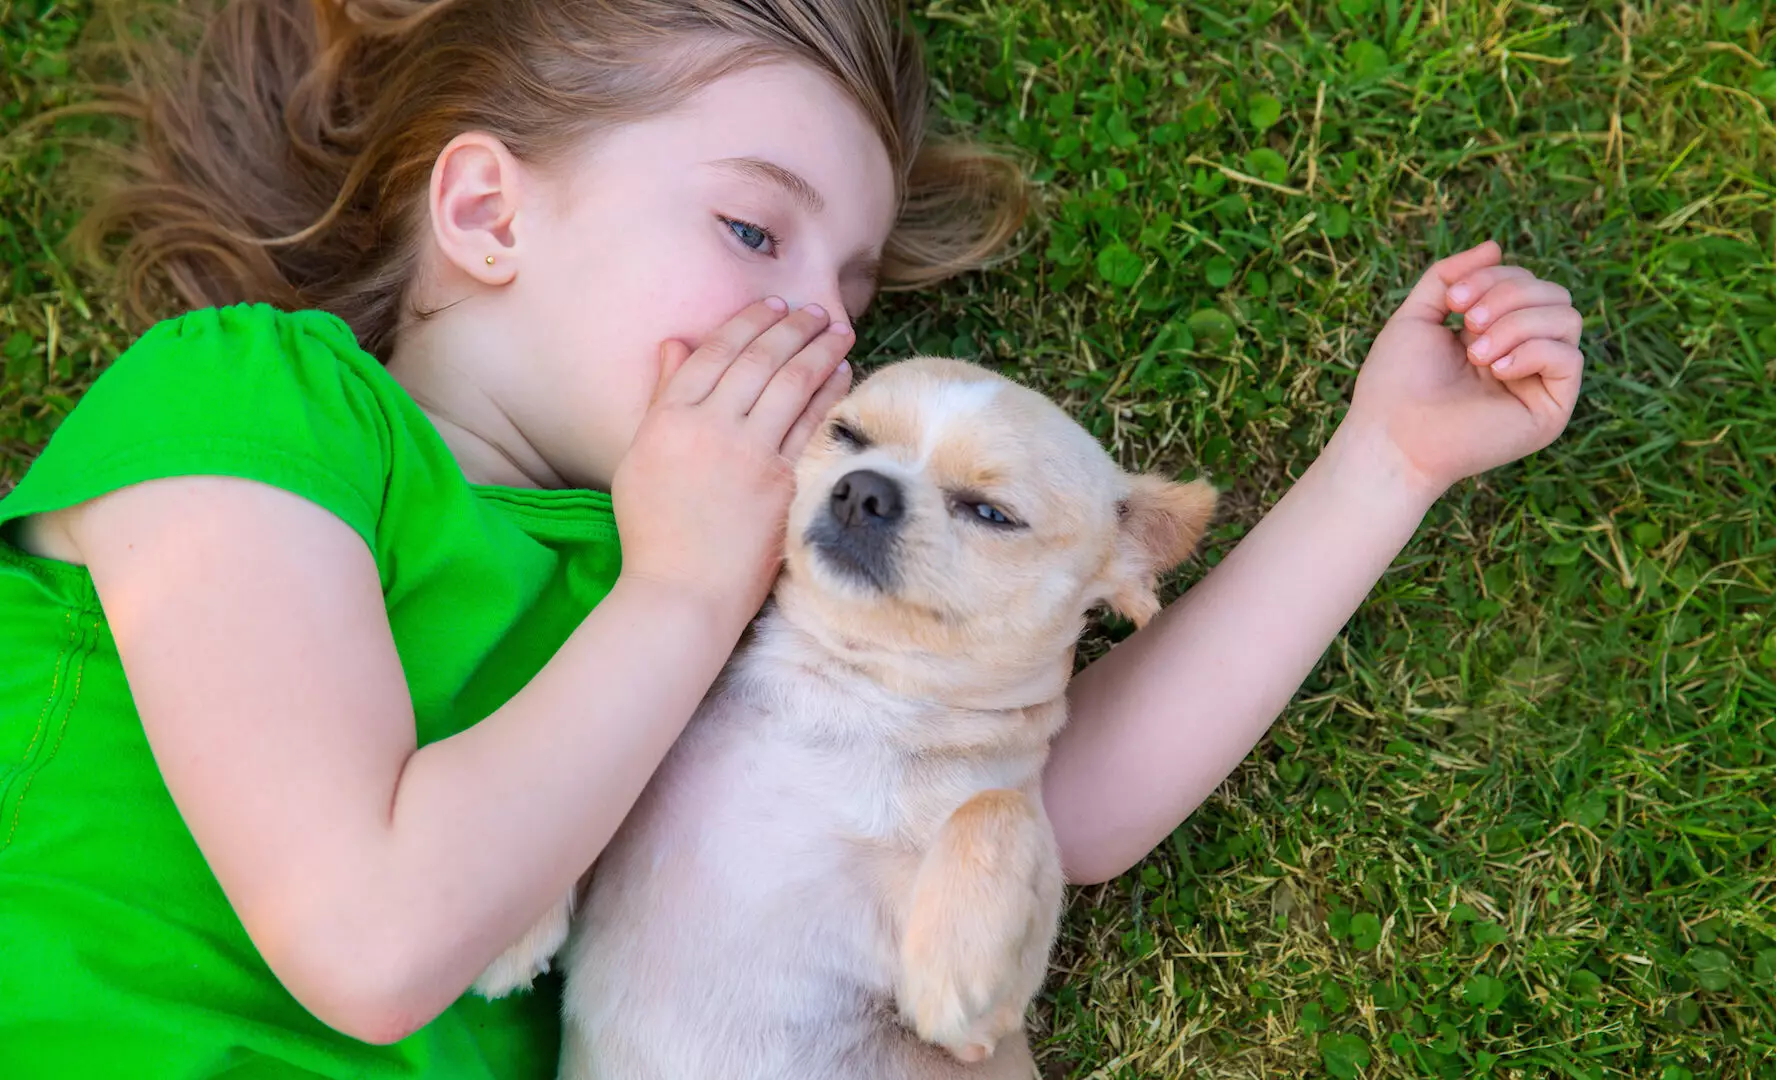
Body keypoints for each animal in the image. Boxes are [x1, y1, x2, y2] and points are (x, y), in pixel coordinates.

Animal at [479, 358, 1214, 1072]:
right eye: (846, 436)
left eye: (991, 513)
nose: (864, 489)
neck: (844, 695)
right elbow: (587, 788)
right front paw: (515, 921)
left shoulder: (985, 1034)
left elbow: (996, 807)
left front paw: (952, 967)